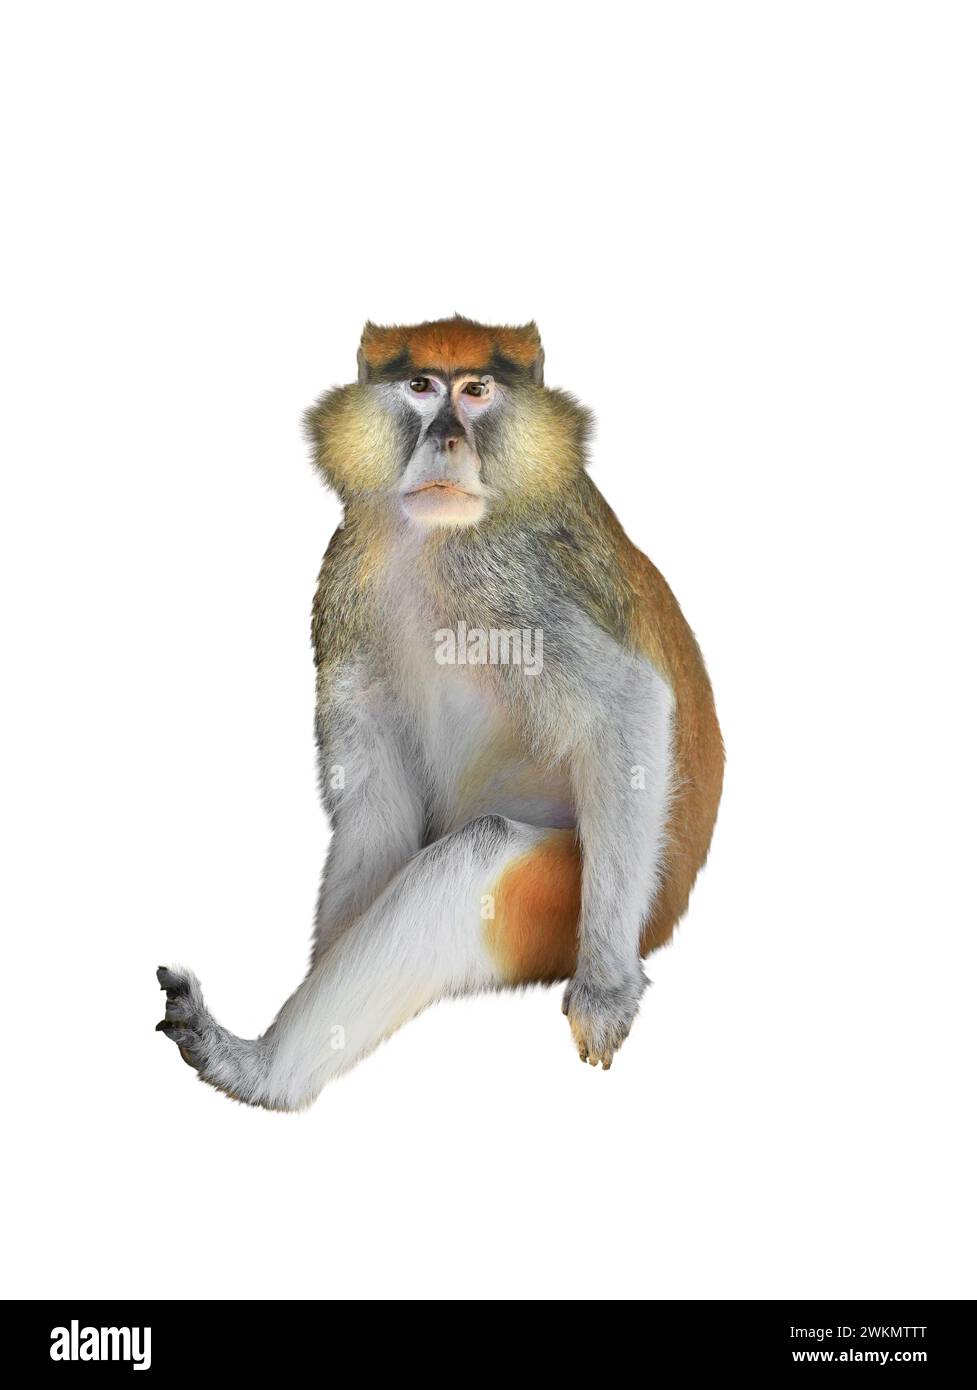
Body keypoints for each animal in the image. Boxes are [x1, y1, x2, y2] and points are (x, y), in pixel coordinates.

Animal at [156, 315, 724, 1111]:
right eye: (422, 385)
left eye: (477, 390)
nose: (448, 438)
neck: (432, 543)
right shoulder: (348, 588)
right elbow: (375, 801)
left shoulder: (516, 582)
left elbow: (628, 704)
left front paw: (605, 994)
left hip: (559, 905)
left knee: (475, 852)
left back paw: (259, 1071)